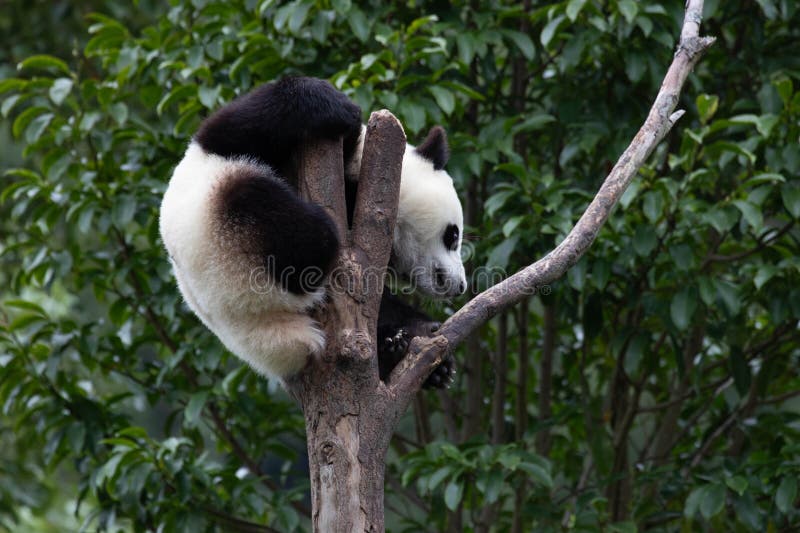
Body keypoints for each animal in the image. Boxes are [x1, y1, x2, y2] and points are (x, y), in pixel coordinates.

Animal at [159, 77, 466, 388]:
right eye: (453, 236)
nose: (461, 286)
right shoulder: (235, 146)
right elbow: (237, 128)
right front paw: (339, 107)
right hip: (224, 241)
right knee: (277, 219)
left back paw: (414, 349)